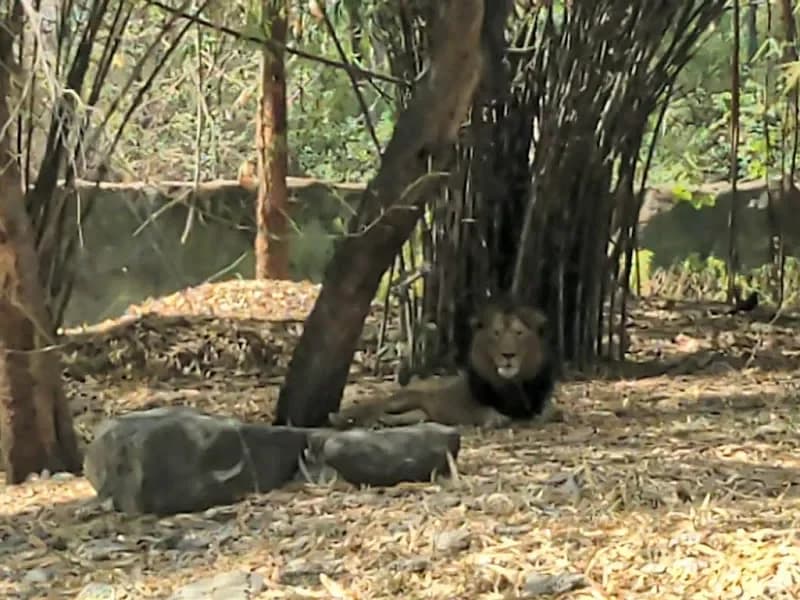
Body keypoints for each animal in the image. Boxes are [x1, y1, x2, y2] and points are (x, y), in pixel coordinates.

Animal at [328, 298, 558, 429]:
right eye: (496, 333)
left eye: (519, 333)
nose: (508, 354)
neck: (511, 383)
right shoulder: (466, 404)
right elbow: (485, 412)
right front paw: (496, 418)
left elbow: (550, 411)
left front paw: (544, 416)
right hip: (404, 397)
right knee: (372, 407)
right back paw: (343, 418)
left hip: (418, 411)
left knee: (405, 416)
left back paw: (381, 422)